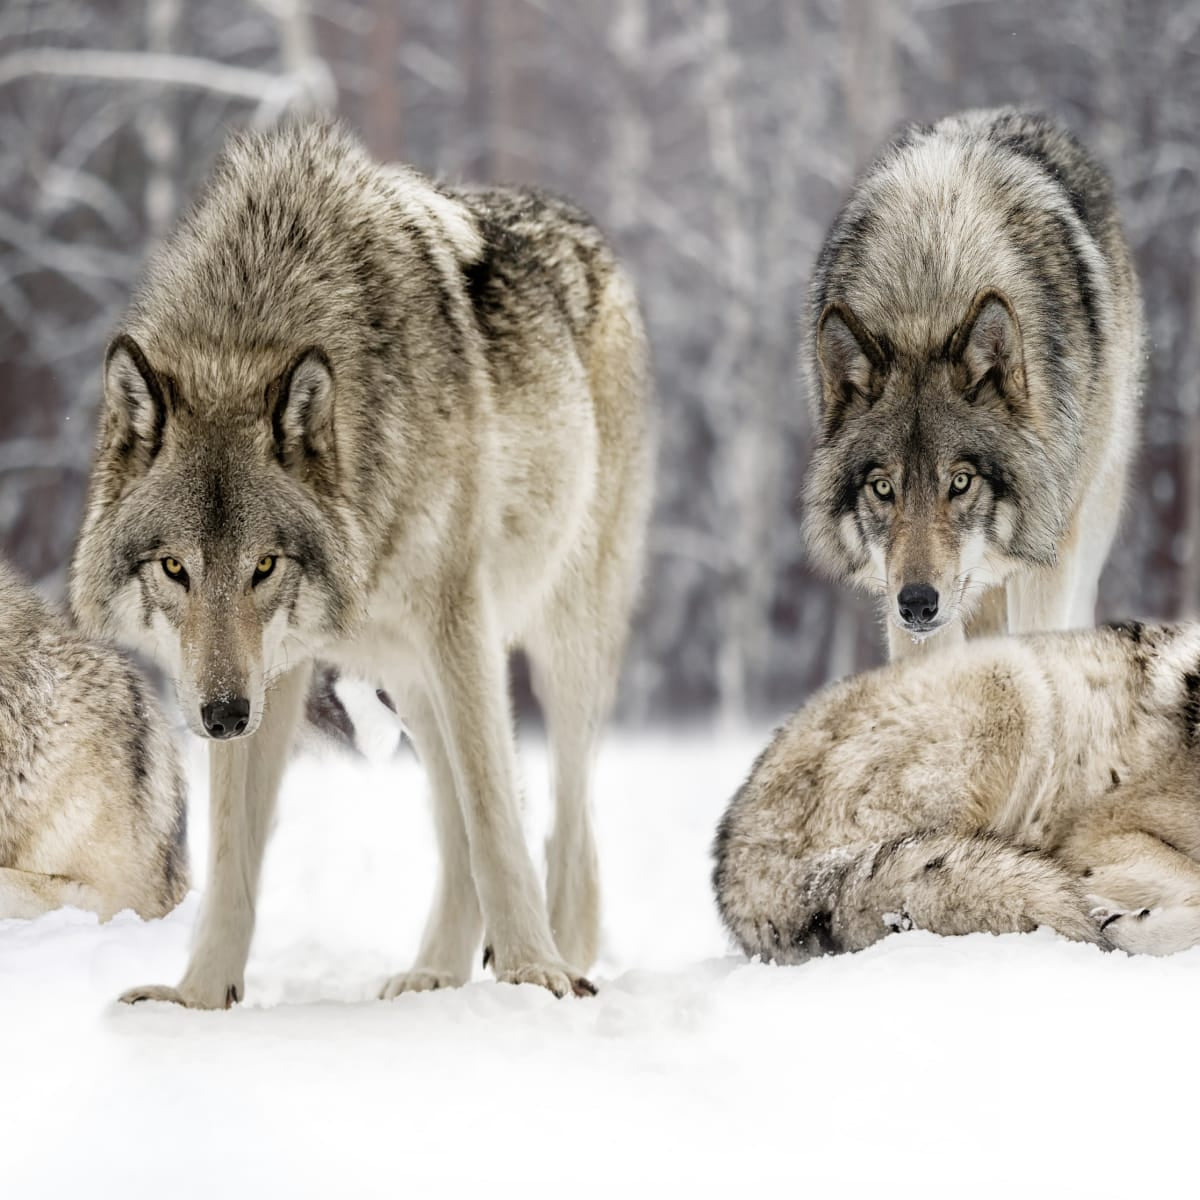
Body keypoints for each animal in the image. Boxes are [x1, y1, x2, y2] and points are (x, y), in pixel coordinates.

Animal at [70, 121, 654, 1008]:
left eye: (265, 565)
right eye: (174, 569)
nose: (223, 717)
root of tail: (586, 229)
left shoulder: (457, 623)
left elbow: (496, 820)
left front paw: (534, 972)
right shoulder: (267, 672)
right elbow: (233, 858)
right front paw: (197, 999)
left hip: (556, 646)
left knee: (562, 827)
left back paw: (559, 955)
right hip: (408, 677)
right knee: (455, 824)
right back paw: (435, 974)